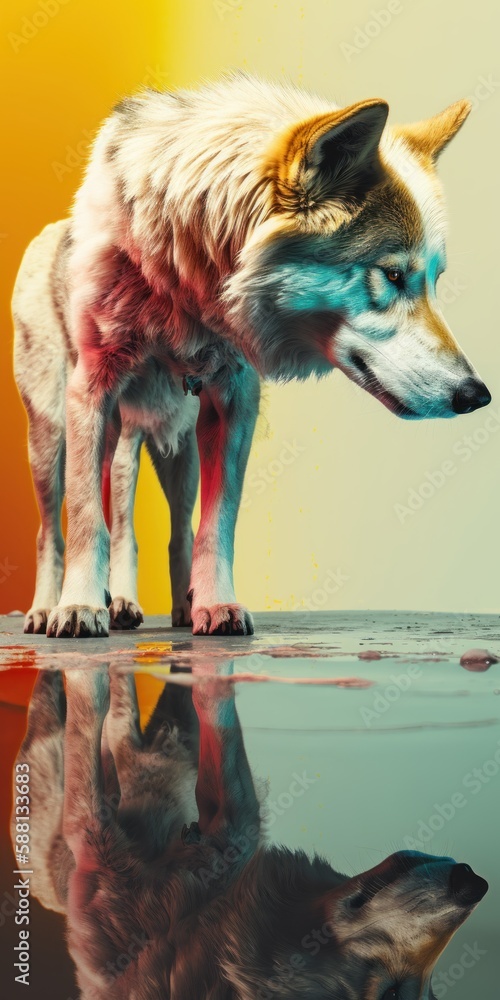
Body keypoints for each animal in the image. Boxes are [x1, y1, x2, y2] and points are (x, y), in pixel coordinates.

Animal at [11, 665, 488, 998]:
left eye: (389, 993)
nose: (474, 881)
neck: (192, 920)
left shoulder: (91, 831)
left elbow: (88, 713)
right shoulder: (233, 821)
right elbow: (217, 712)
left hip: (43, 791)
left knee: (90, 720)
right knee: (132, 716)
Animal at [12, 74, 490, 637]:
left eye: (434, 281)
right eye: (392, 275)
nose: (477, 395)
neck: (186, 281)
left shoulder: (232, 399)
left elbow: (215, 525)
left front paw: (216, 605)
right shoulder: (92, 389)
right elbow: (88, 516)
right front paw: (80, 608)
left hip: (174, 450)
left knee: (164, 526)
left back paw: (165, 608)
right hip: (55, 439)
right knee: (54, 528)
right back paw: (50, 608)